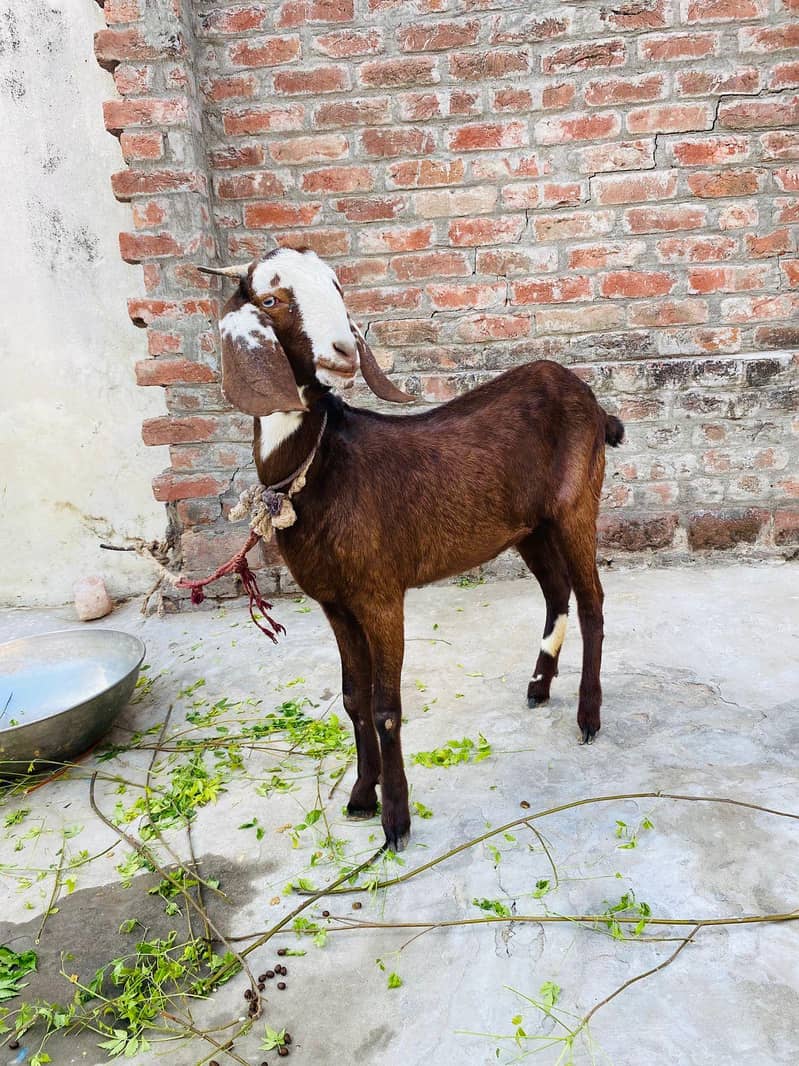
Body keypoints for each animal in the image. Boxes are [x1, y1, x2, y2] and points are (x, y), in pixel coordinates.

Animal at [200, 248, 624, 851]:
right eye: (270, 299)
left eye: (337, 288)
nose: (342, 350)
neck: (322, 465)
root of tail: (589, 397)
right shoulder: (334, 602)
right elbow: (353, 699)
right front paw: (361, 796)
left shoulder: (380, 594)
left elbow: (385, 707)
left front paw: (396, 820)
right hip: (529, 526)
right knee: (557, 593)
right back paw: (539, 686)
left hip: (575, 505)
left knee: (592, 602)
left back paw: (589, 717)